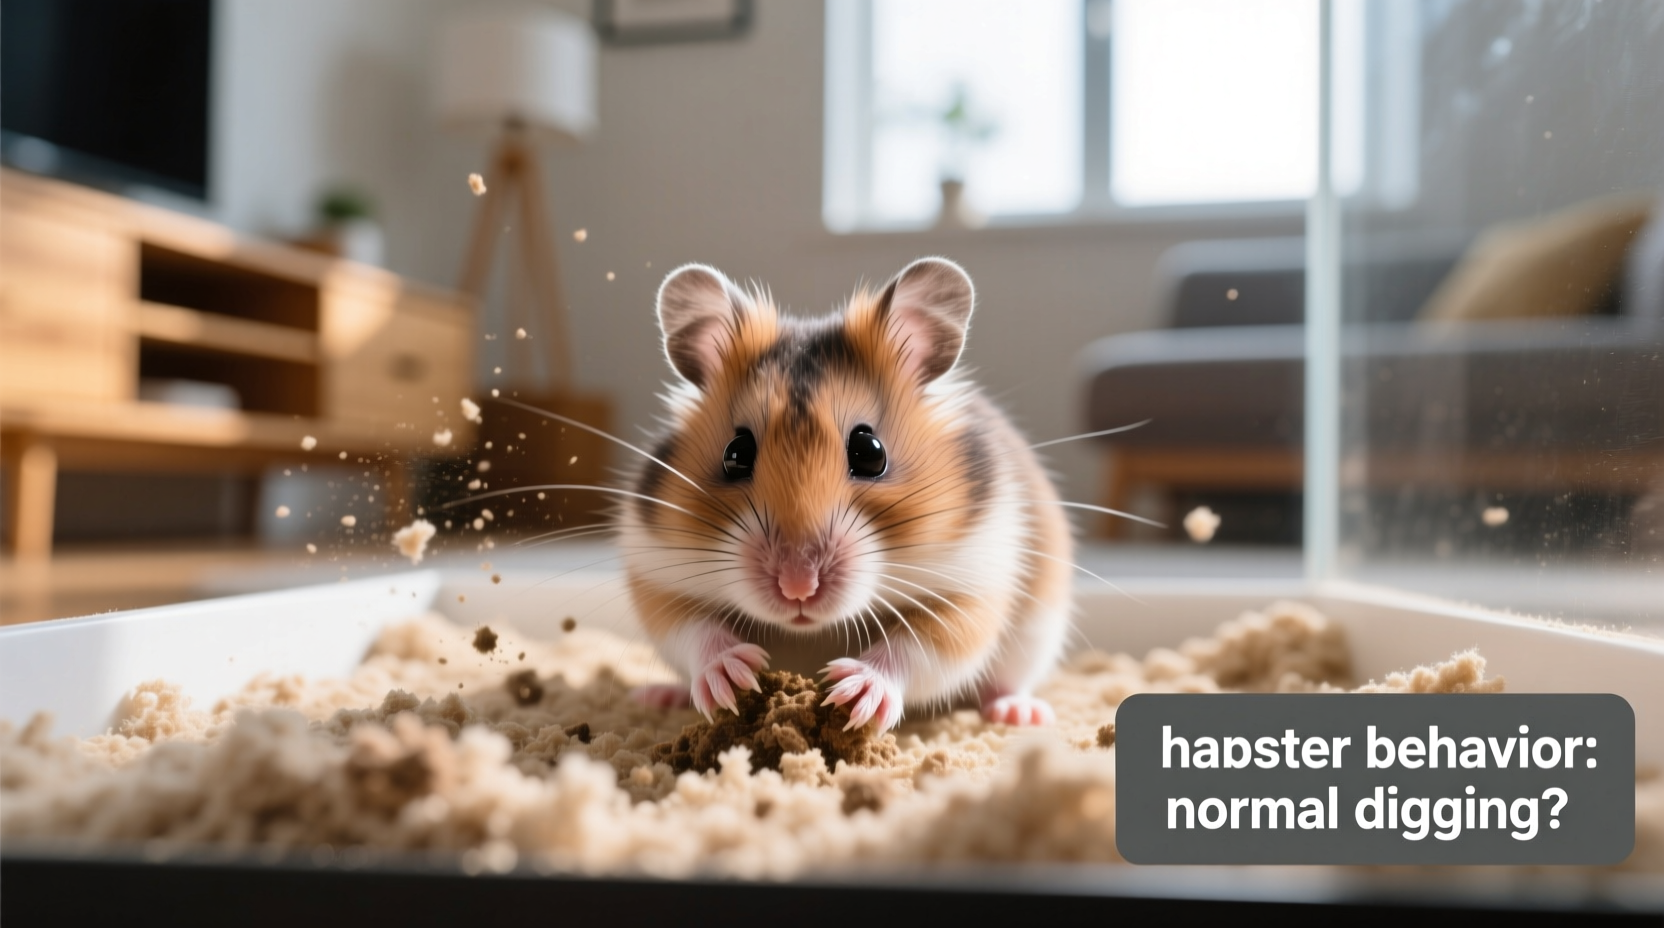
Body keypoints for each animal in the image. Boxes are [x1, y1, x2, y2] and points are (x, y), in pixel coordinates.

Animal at [616, 257, 1073, 734]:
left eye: (870, 453)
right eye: (735, 454)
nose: (798, 587)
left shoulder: (971, 589)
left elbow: (921, 648)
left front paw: (856, 693)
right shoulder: (657, 576)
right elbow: (692, 629)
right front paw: (732, 674)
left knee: (1004, 682)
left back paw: (1020, 713)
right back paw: (658, 696)